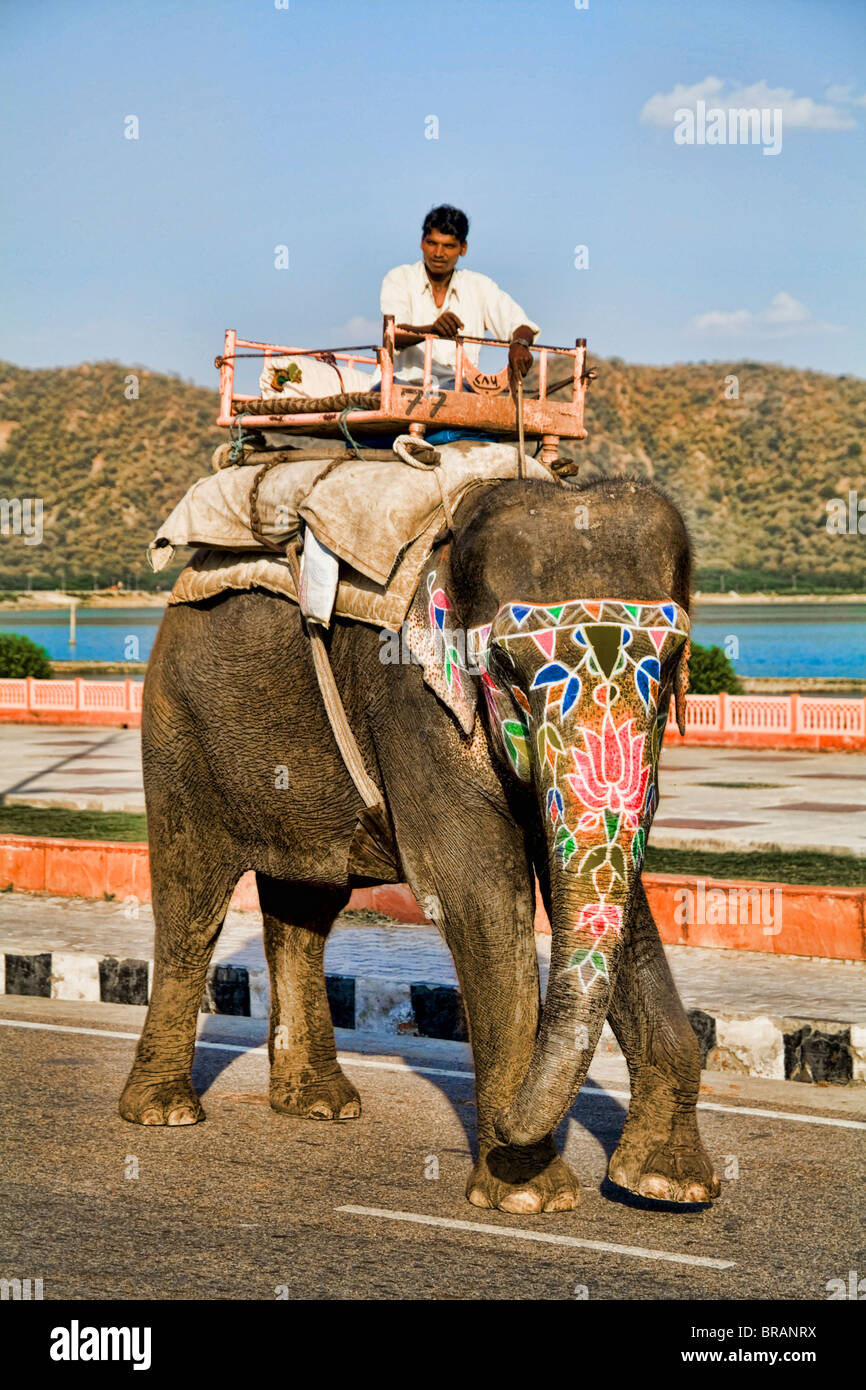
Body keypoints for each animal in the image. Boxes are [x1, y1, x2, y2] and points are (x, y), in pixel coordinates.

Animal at [120, 473, 721, 1215]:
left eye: (672, 666)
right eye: (506, 669)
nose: (510, 1123)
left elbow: (617, 891)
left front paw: (670, 1187)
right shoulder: (411, 702)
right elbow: (479, 892)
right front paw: (527, 1195)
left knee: (305, 909)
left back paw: (319, 1105)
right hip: (178, 728)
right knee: (192, 902)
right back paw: (165, 1113)